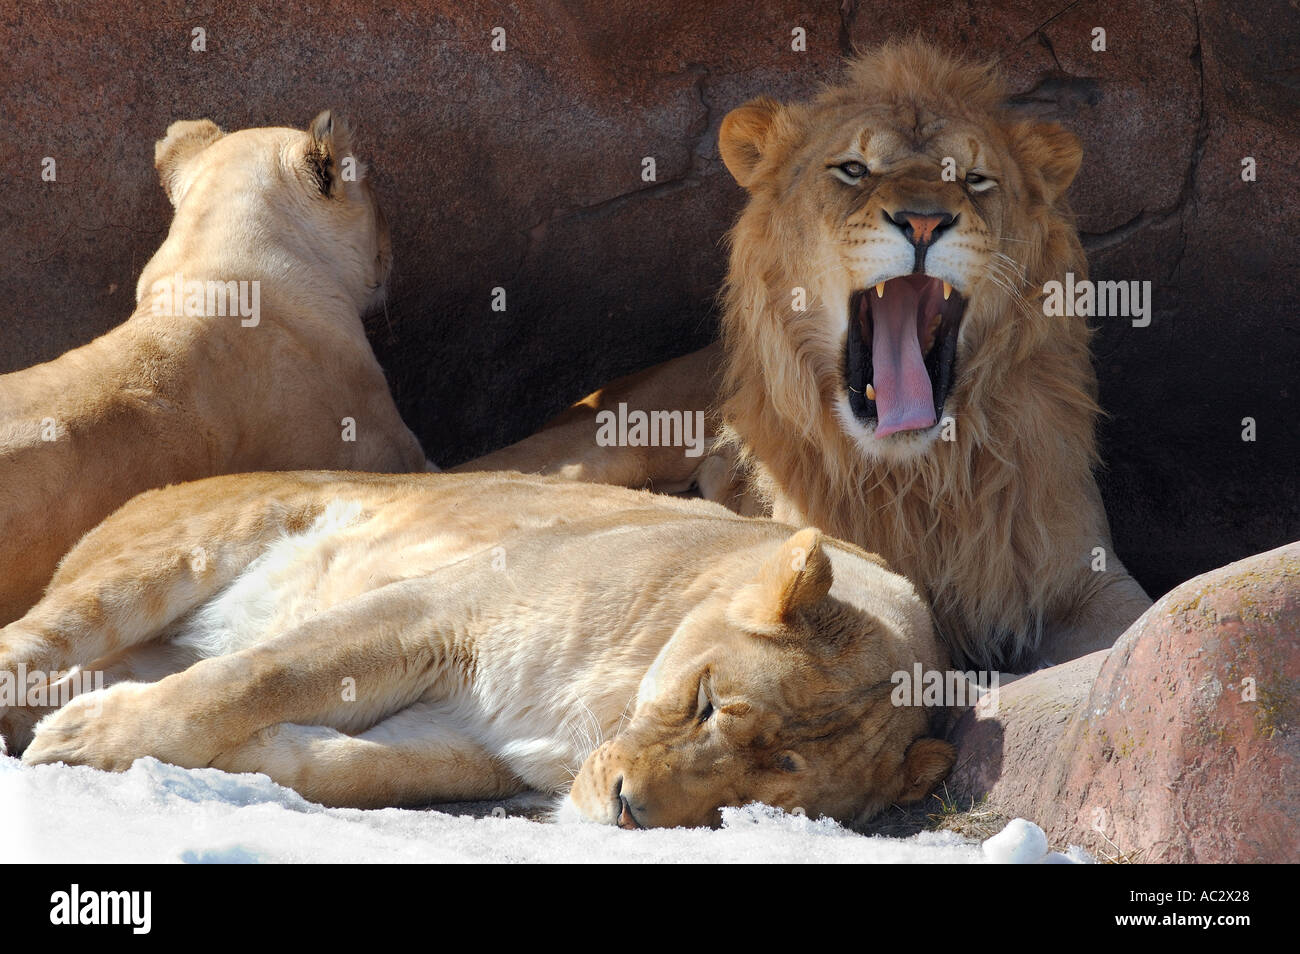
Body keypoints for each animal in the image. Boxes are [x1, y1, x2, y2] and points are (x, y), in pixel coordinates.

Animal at [2, 471, 954, 828]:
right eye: (707, 703)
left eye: (748, 799)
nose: (626, 810)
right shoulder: (435, 611)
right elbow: (253, 676)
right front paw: (89, 742)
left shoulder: (474, 742)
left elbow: (356, 771)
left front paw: (243, 762)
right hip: (163, 560)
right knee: (26, 646)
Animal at [470, 41, 1152, 670]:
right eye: (853, 169)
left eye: (975, 179)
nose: (924, 222)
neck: (920, 475)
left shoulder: (1086, 573)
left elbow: (1137, 627)